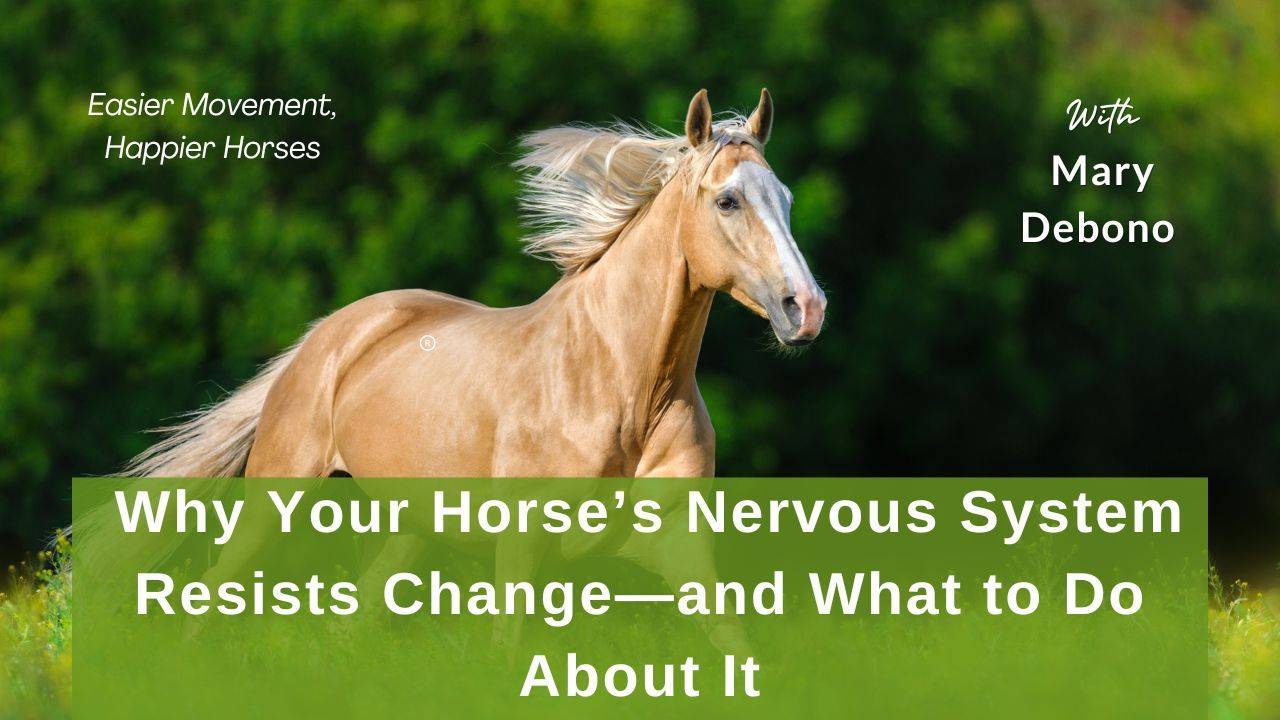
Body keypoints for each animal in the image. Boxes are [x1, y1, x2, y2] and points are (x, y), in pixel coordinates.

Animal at [111, 88, 827, 654]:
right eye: (728, 201)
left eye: (787, 198)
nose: (806, 308)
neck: (622, 389)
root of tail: (327, 337)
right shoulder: (522, 547)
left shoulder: (680, 546)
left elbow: (733, 640)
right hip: (276, 494)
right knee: (209, 602)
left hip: (406, 530)